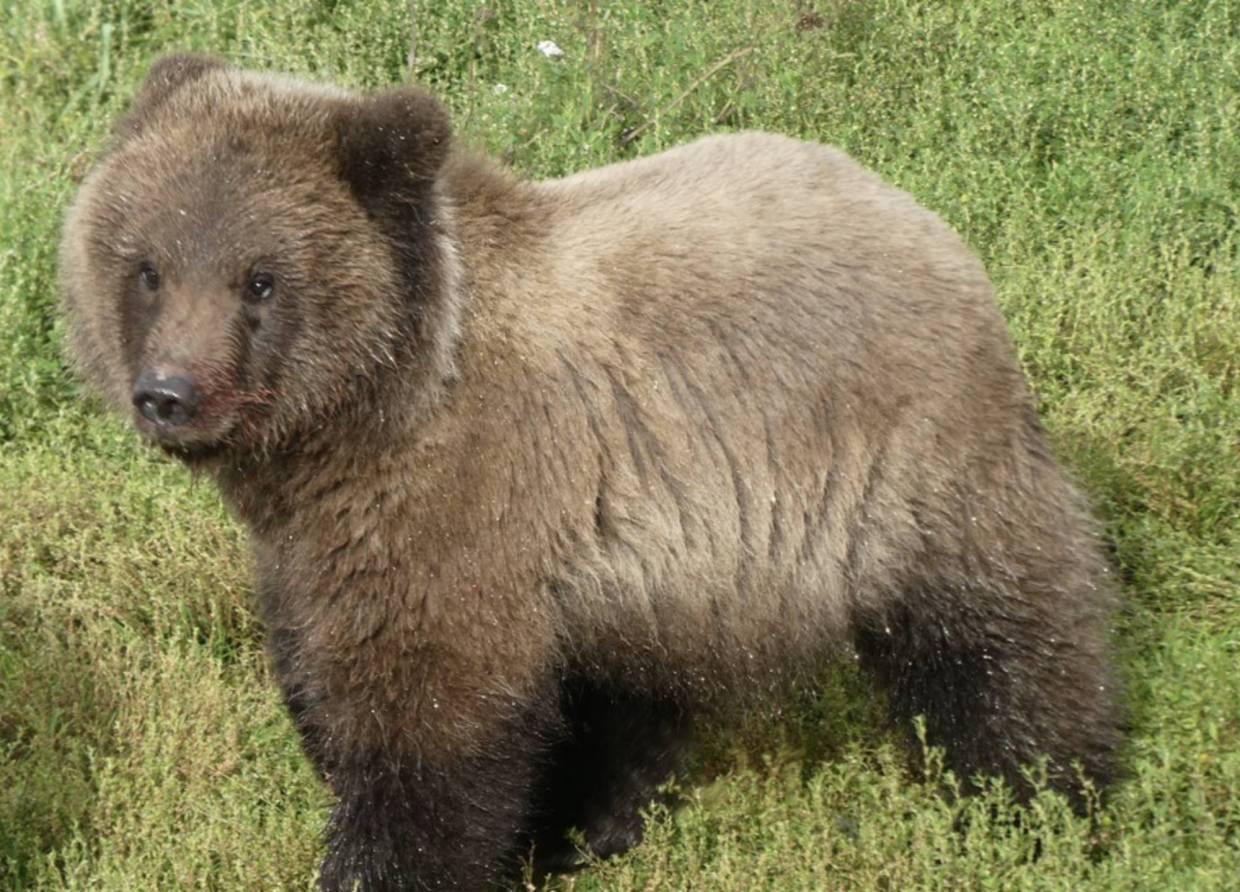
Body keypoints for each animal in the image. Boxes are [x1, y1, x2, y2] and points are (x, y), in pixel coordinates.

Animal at [61, 53, 1123, 891]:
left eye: (261, 279)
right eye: (147, 266)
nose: (169, 394)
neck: (355, 426)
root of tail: (921, 215)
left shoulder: (465, 505)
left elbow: (427, 724)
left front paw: (386, 863)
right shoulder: (319, 545)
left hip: (909, 460)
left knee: (1000, 640)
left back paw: (1043, 807)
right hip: (670, 570)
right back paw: (589, 827)